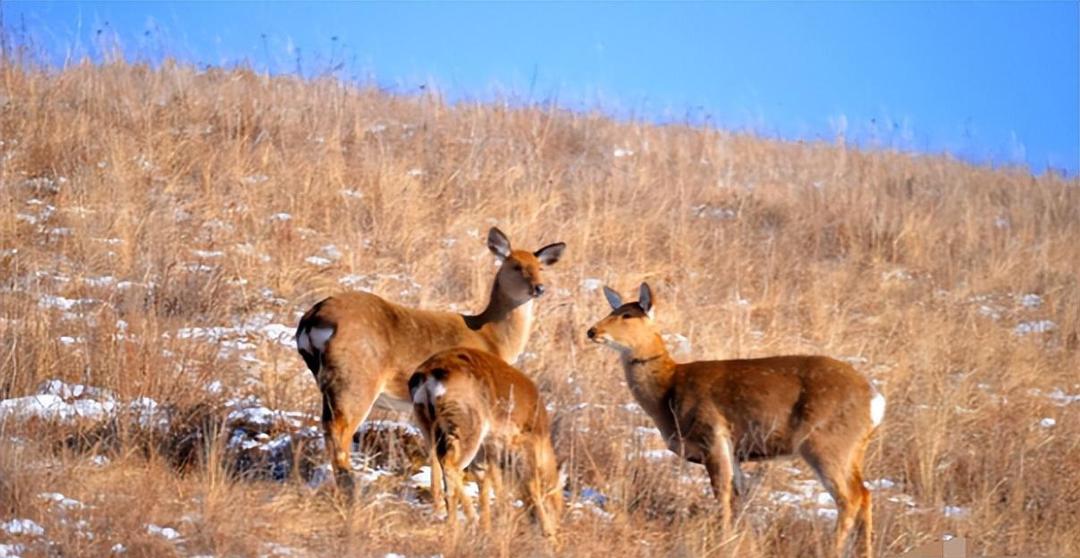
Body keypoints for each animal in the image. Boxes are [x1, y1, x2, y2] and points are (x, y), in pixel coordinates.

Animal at [295, 227, 565, 499]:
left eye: (540, 268)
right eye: (515, 266)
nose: (539, 287)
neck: (490, 337)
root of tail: (313, 320)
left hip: (329, 381)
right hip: (357, 378)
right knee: (339, 431)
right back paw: (350, 489)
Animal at [409, 347, 564, 541]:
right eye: (558, 506)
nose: (559, 537)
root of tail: (428, 376)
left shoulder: (486, 452)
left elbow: (485, 483)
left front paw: (488, 530)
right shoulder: (523, 442)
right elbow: (531, 485)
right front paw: (546, 533)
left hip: (427, 425)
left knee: (439, 463)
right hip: (468, 425)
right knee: (451, 466)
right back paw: (463, 523)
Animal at [586, 283, 885, 558]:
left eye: (626, 315)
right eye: (612, 310)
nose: (592, 331)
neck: (668, 391)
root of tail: (875, 399)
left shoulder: (713, 434)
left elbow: (722, 494)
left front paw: (723, 539)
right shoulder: (735, 450)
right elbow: (739, 495)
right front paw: (739, 537)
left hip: (826, 442)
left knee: (850, 498)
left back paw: (833, 549)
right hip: (852, 448)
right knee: (866, 494)